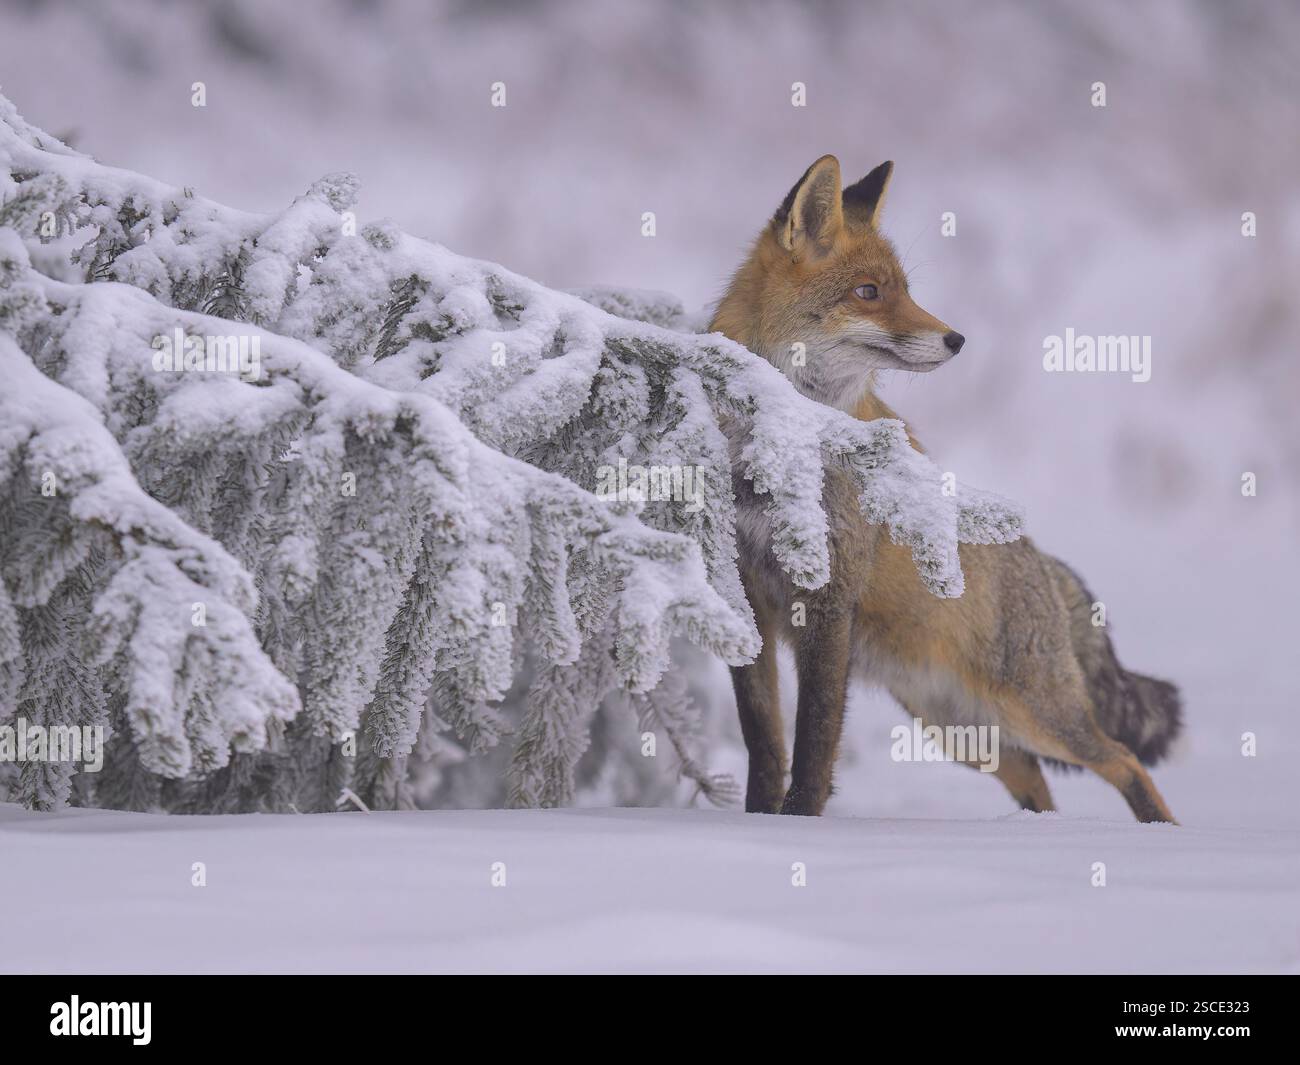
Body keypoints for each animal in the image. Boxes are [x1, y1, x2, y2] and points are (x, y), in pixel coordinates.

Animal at [710, 155, 1181, 823]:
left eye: (907, 289)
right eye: (869, 292)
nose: (957, 338)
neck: (779, 447)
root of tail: (1045, 561)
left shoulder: (828, 598)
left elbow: (816, 743)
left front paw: (799, 823)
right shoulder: (745, 593)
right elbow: (765, 743)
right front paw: (758, 821)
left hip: (1028, 714)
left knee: (1122, 759)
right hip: (958, 728)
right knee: (1039, 784)